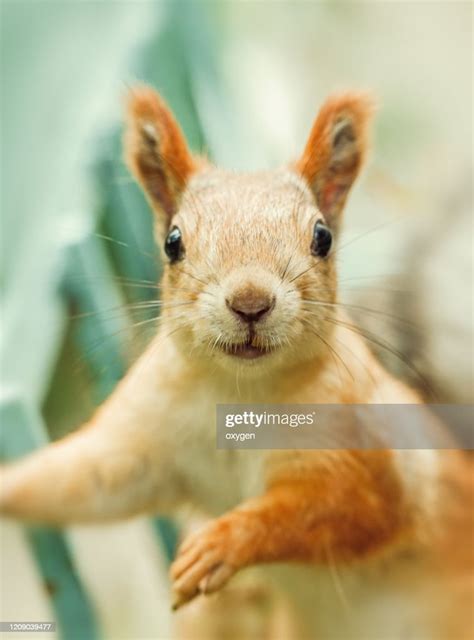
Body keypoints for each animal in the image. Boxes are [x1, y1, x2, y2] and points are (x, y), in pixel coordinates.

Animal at [1, 87, 472, 639]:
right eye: (173, 242)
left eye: (323, 237)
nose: (250, 303)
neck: (237, 393)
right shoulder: (144, 443)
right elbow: (83, 481)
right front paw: (8, 487)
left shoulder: (374, 461)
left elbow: (337, 511)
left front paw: (224, 541)